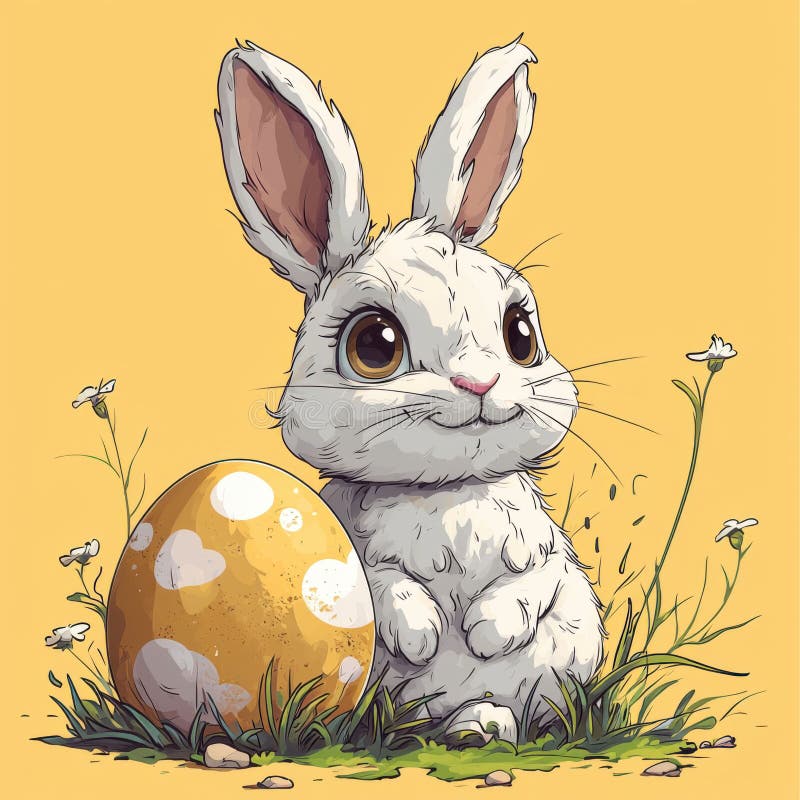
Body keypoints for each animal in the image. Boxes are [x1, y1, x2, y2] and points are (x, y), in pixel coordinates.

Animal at [216, 38, 604, 741]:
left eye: (521, 333)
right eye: (375, 345)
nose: (479, 381)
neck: (445, 493)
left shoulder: (538, 550)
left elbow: (533, 581)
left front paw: (487, 631)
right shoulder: (352, 544)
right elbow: (380, 581)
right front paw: (420, 633)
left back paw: (483, 727)